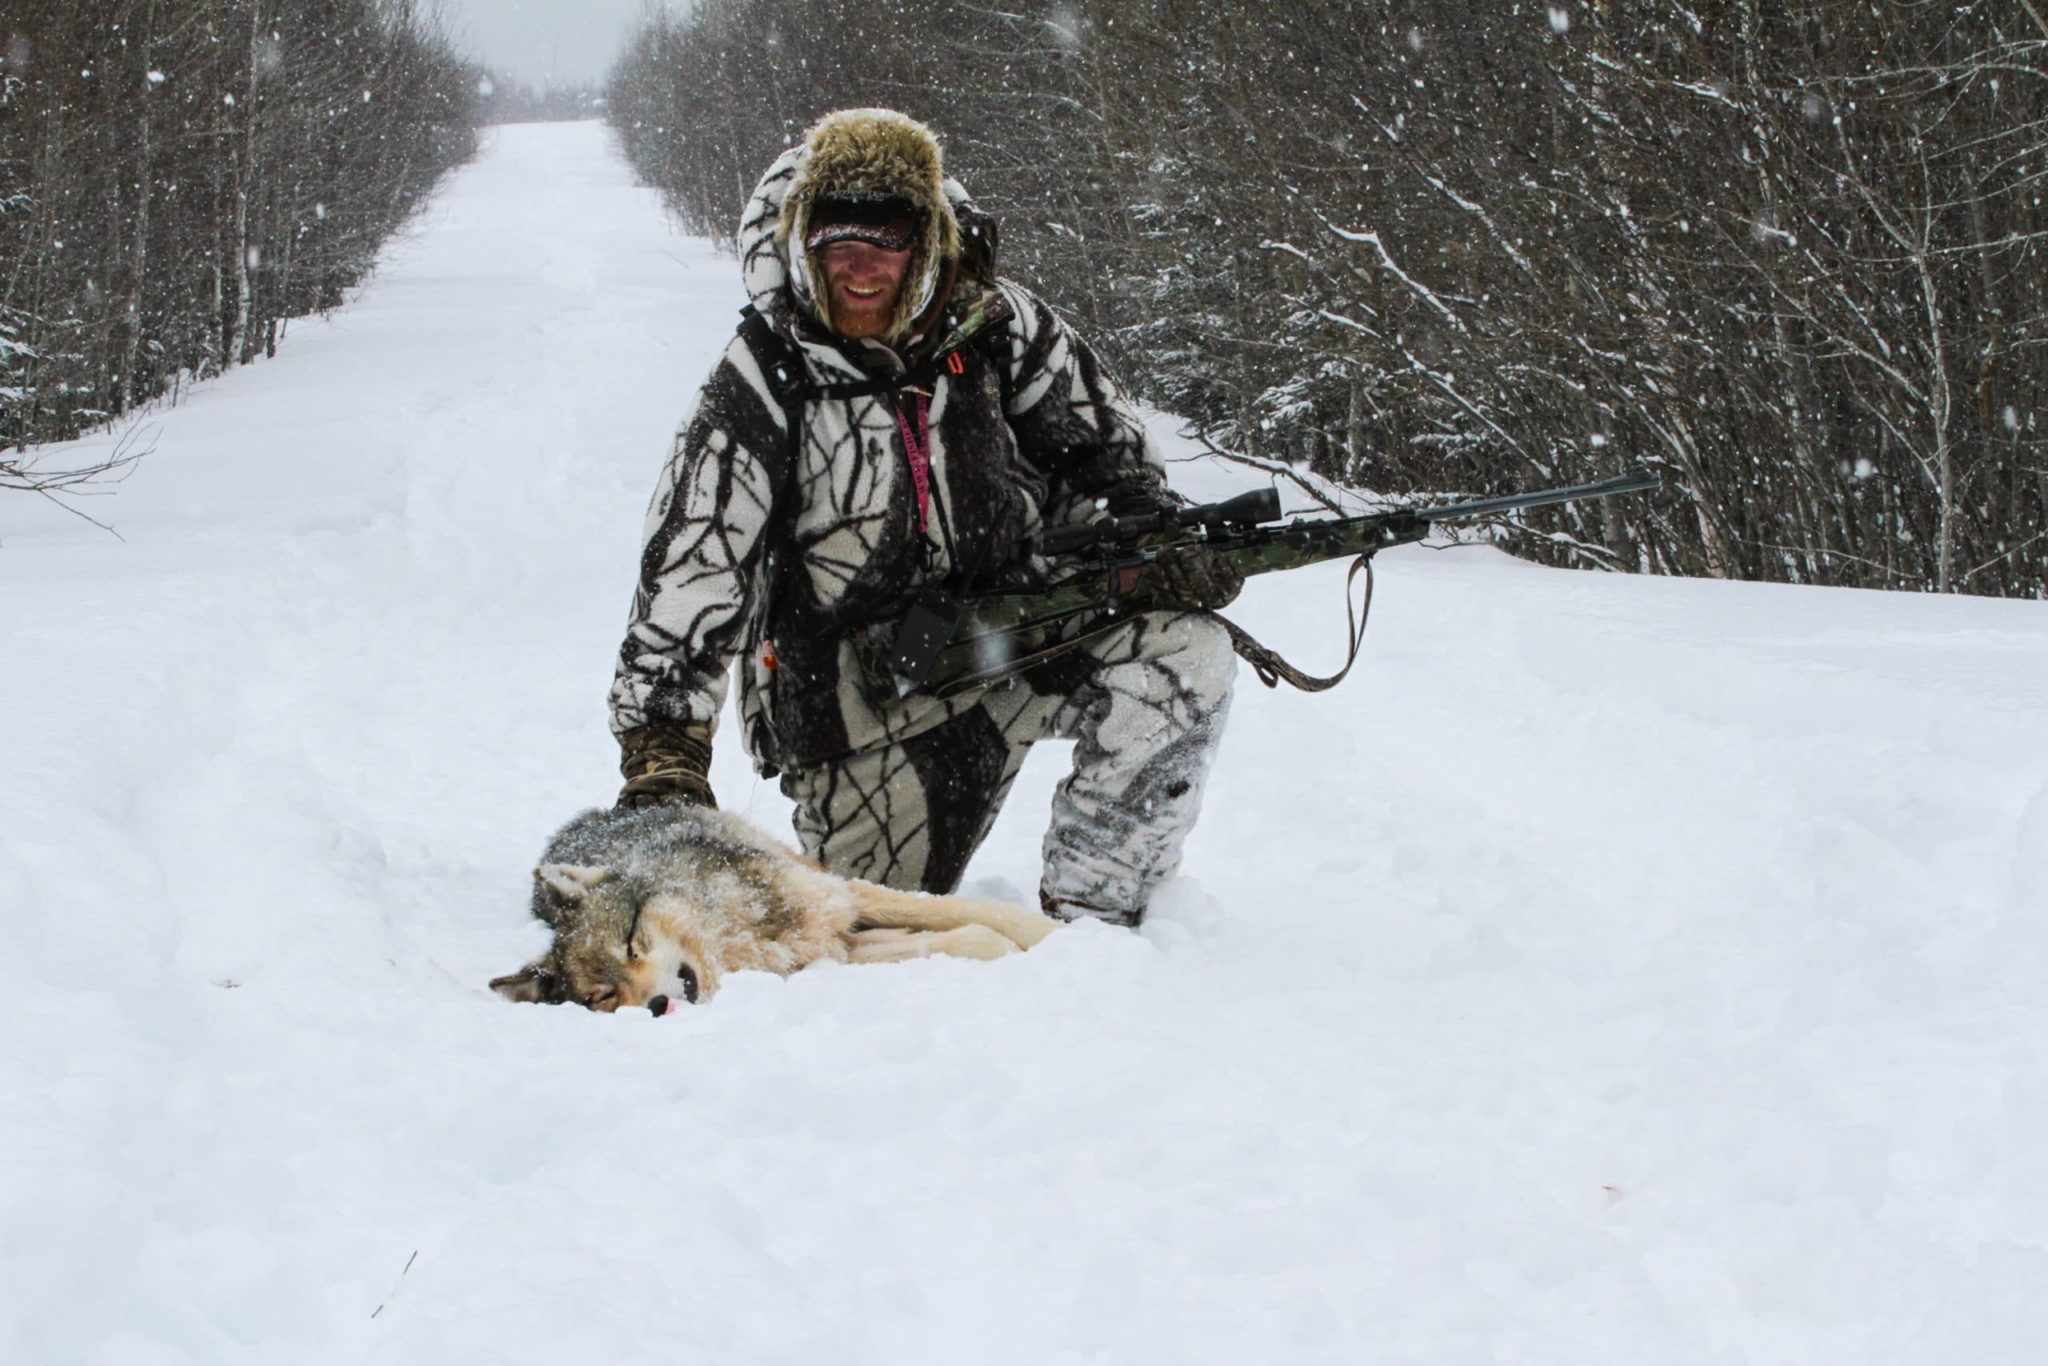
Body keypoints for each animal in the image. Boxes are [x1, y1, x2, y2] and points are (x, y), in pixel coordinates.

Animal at [489, 804, 1056, 1012]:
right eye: (603, 998)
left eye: (630, 943)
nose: (655, 1005)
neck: (734, 932)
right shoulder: (836, 950)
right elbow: (959, 938)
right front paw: (1002, 945)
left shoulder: (838, 896)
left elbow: (959, 911)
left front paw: (1055, 934)